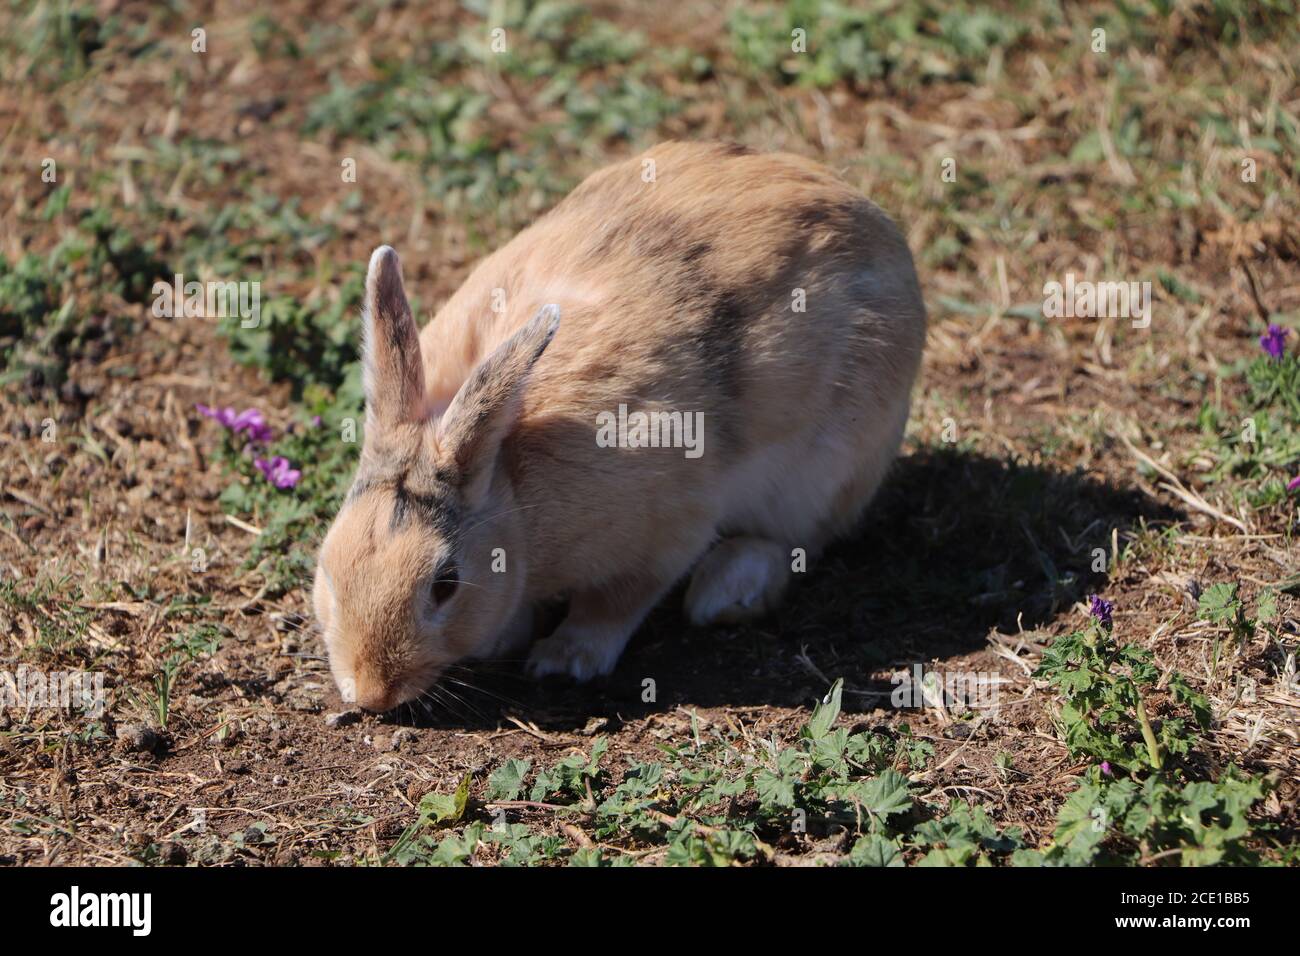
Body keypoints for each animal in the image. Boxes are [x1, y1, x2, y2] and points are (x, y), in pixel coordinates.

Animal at [313, 141, 926, 712]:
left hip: (826, 472)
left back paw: (726, 591)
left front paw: (564, 659)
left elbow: (615, 602)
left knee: (796, 541)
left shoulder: (666, 531)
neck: (509, 487)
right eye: (329, 565)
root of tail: (866, 212)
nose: (371, 693)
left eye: (446, 584)